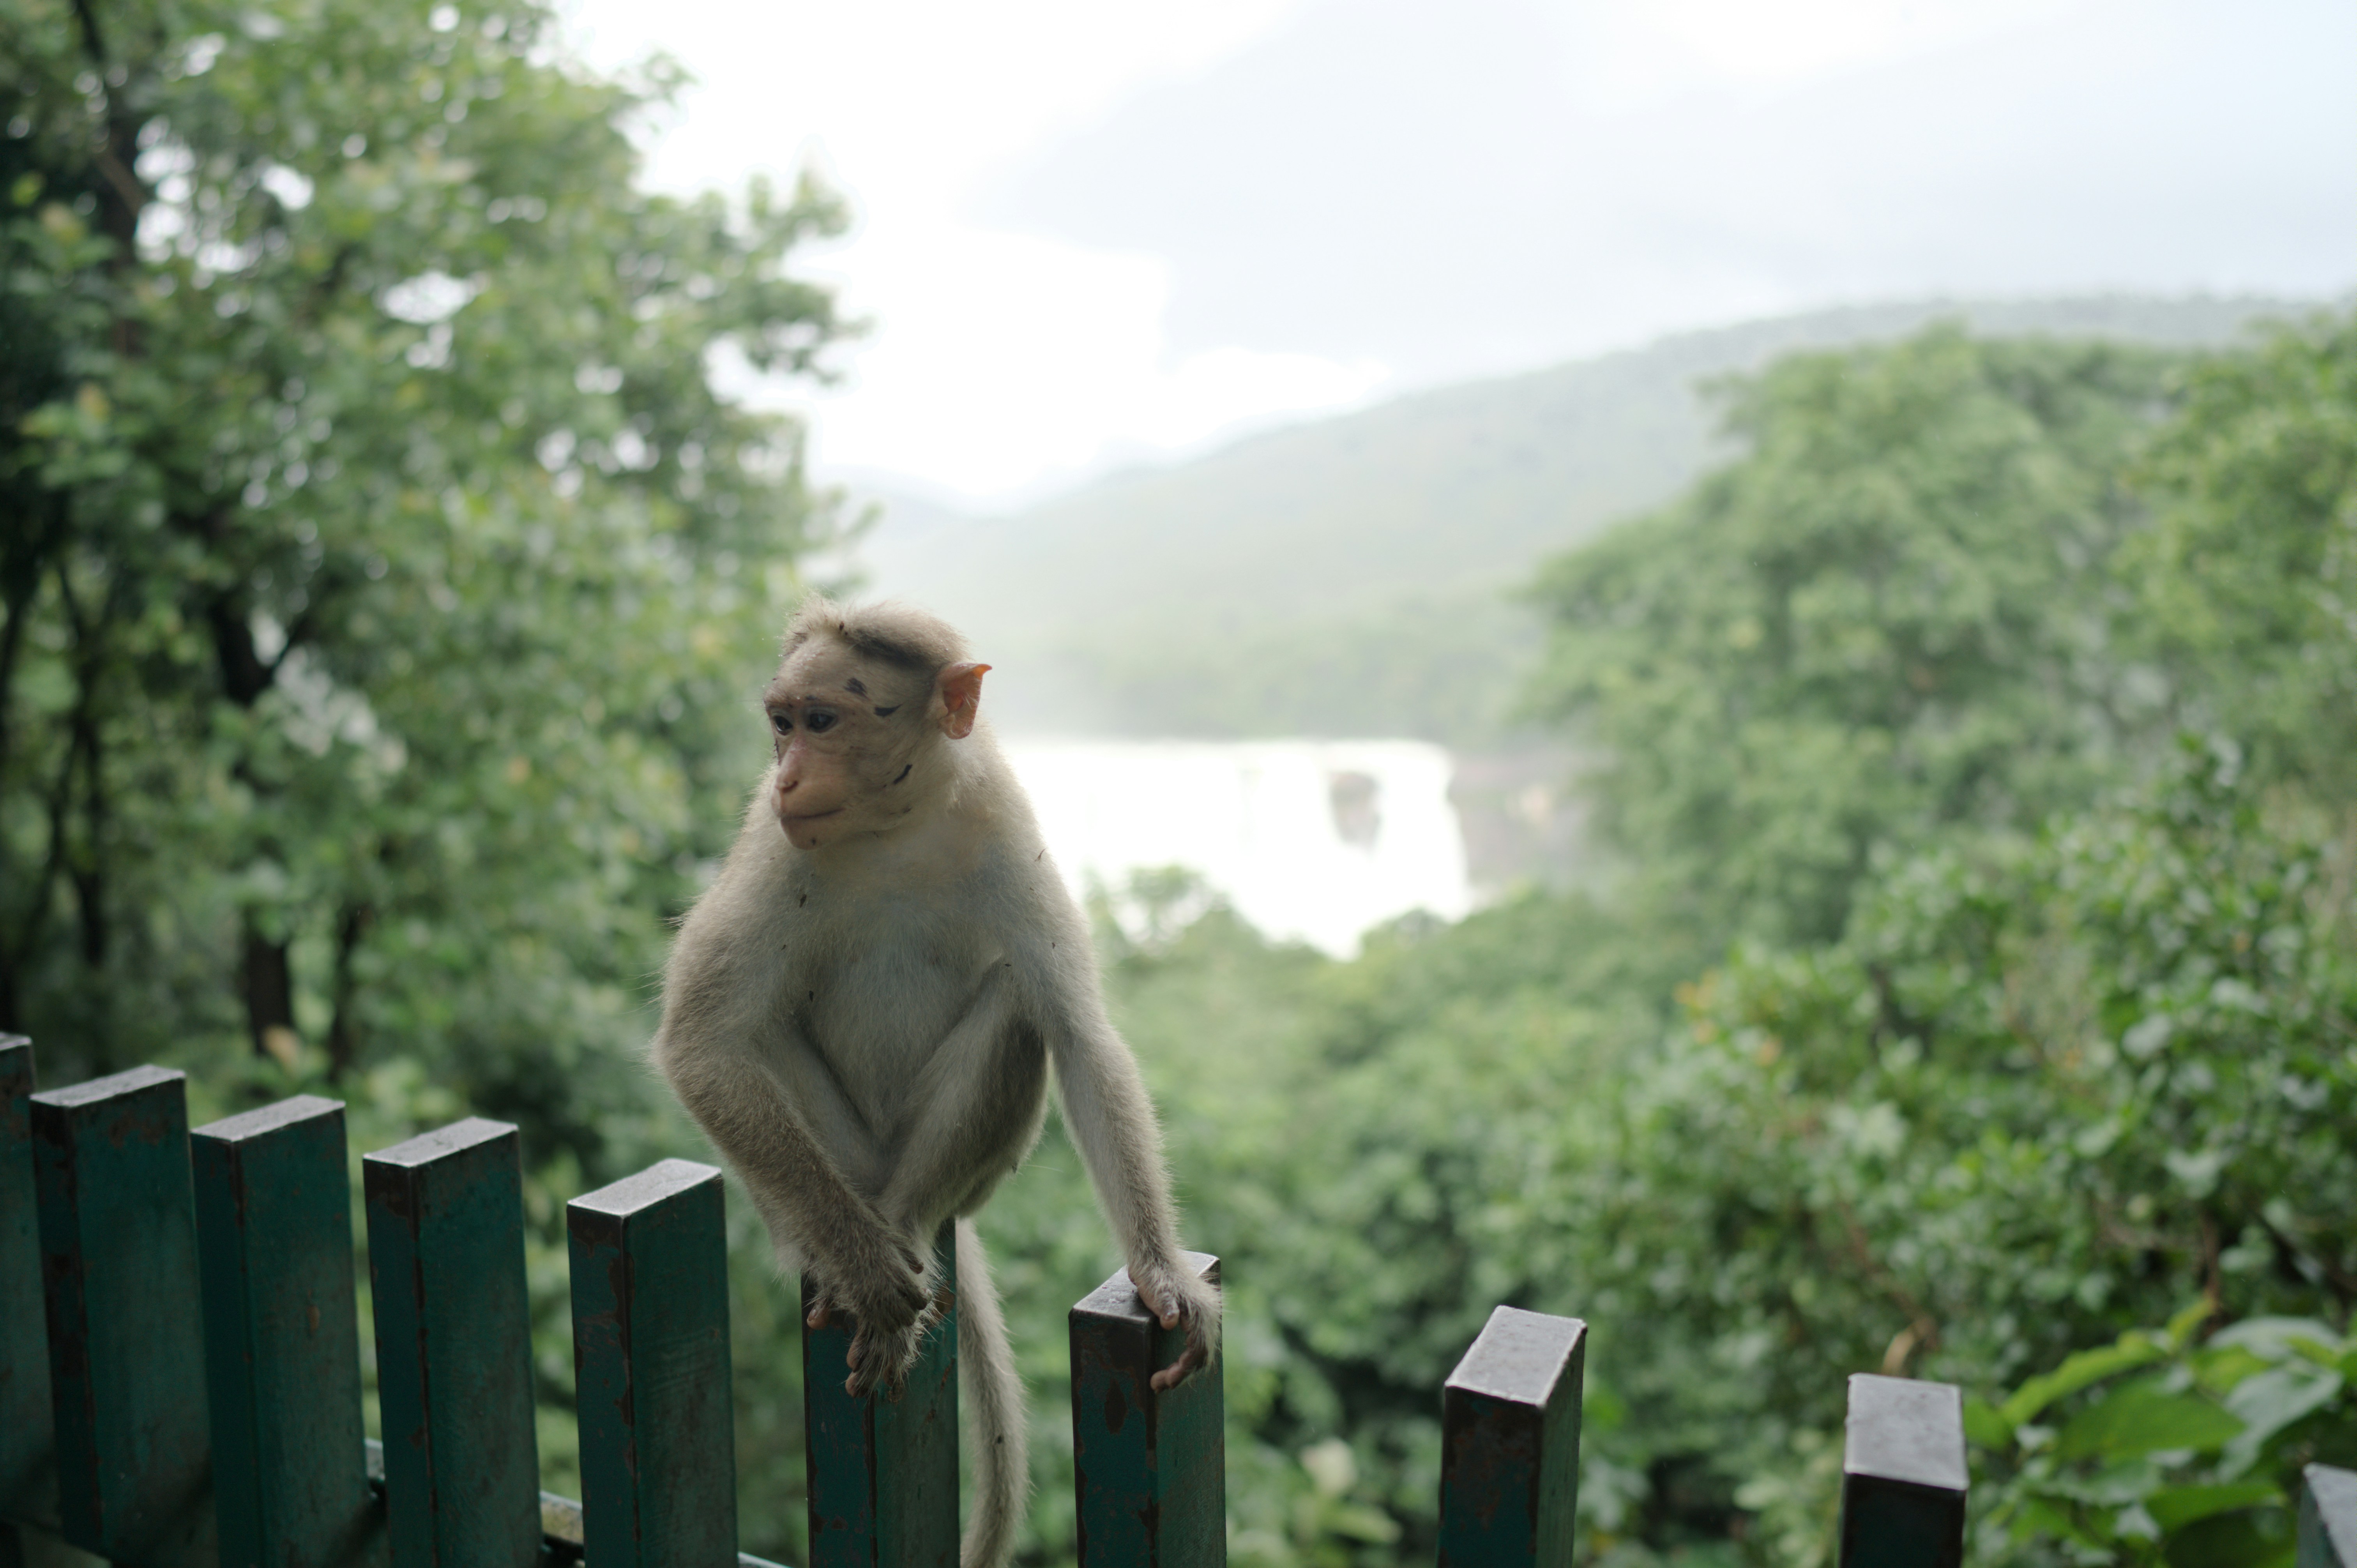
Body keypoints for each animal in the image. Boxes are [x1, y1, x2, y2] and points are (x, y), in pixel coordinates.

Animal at [651, 597, 1220, 1568]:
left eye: (824, 719)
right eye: (782, 722)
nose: (790, 774)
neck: (895, 829)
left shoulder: (1005, 823)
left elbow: (1079, 1035)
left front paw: (1162, 1271)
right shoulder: (773, 840)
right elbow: (701, 1044)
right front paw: (869, 1278)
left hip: (944, 1167)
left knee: (1018, 1007)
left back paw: (913, 1220)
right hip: (836, 1160)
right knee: (757, 1042)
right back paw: (853, 1255)